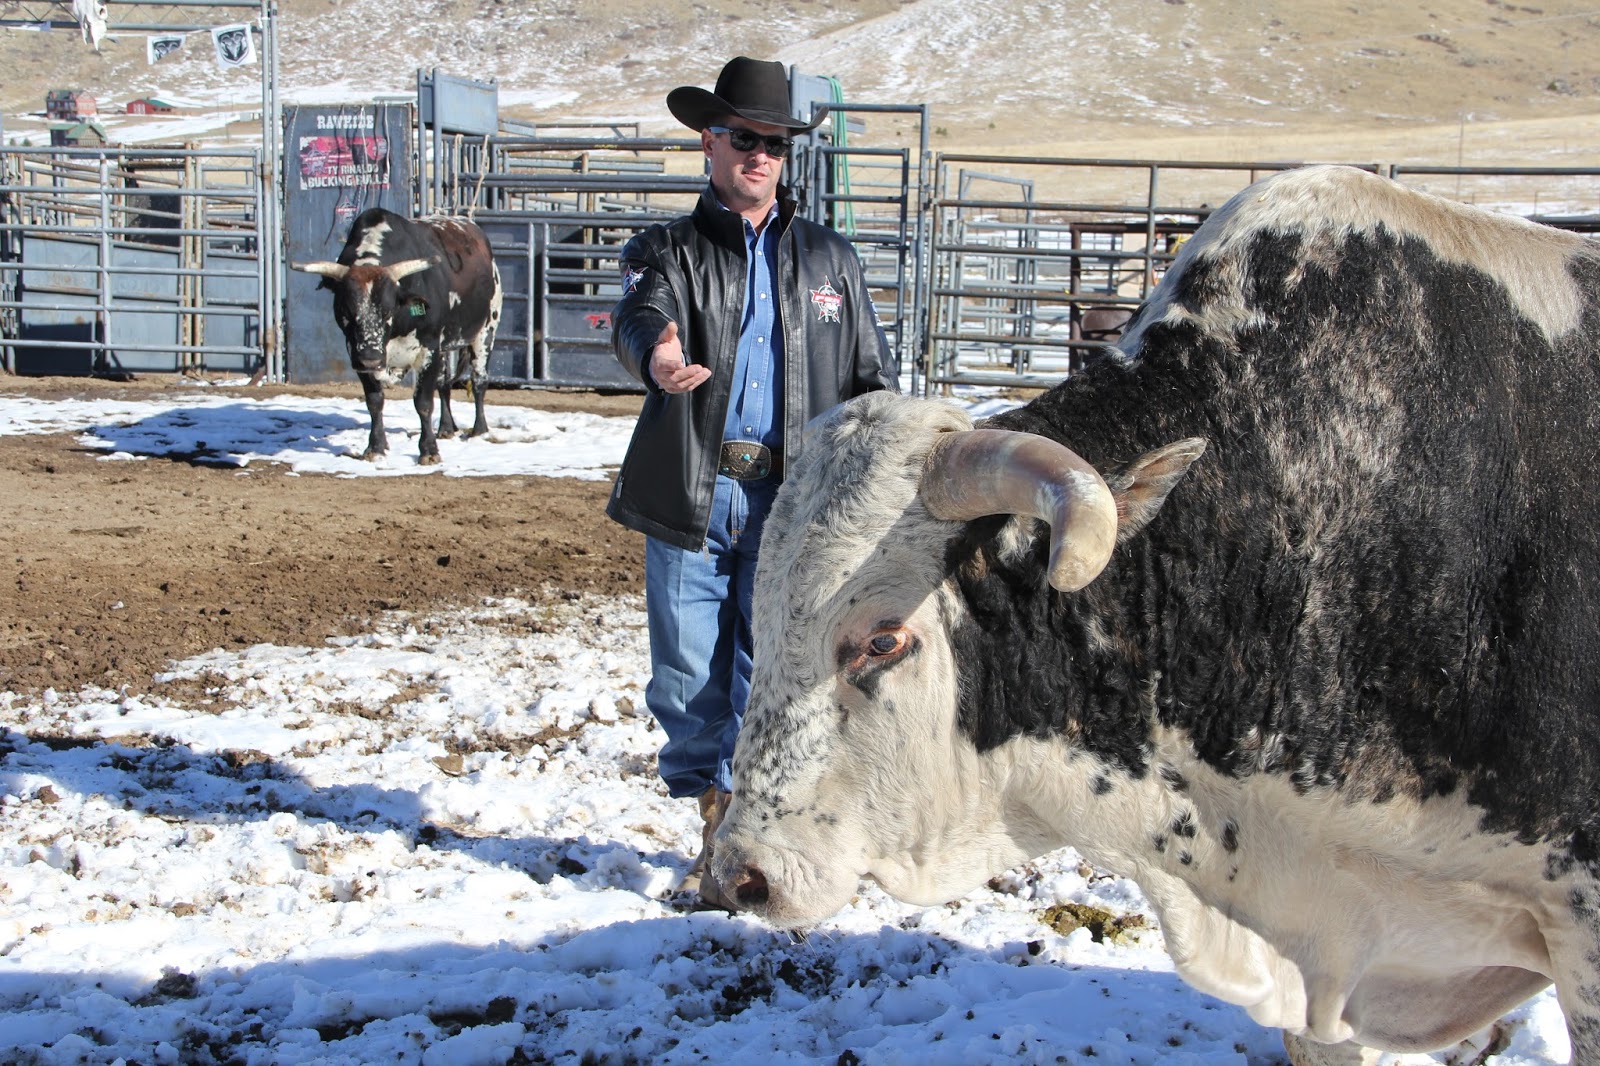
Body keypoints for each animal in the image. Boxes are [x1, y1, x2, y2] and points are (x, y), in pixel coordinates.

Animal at [293, 209, 503, 465]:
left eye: (388, 310)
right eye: (347, 310)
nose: (371, 358)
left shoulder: (428, 348)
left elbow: (423, 402)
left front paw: (428, 451)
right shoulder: (356, 352)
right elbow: (375, 401)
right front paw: (376, 447)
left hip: (486, 330)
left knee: (479, 381)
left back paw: (479, 430)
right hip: (444, 347)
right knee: (444, 384)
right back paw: (446, 428)